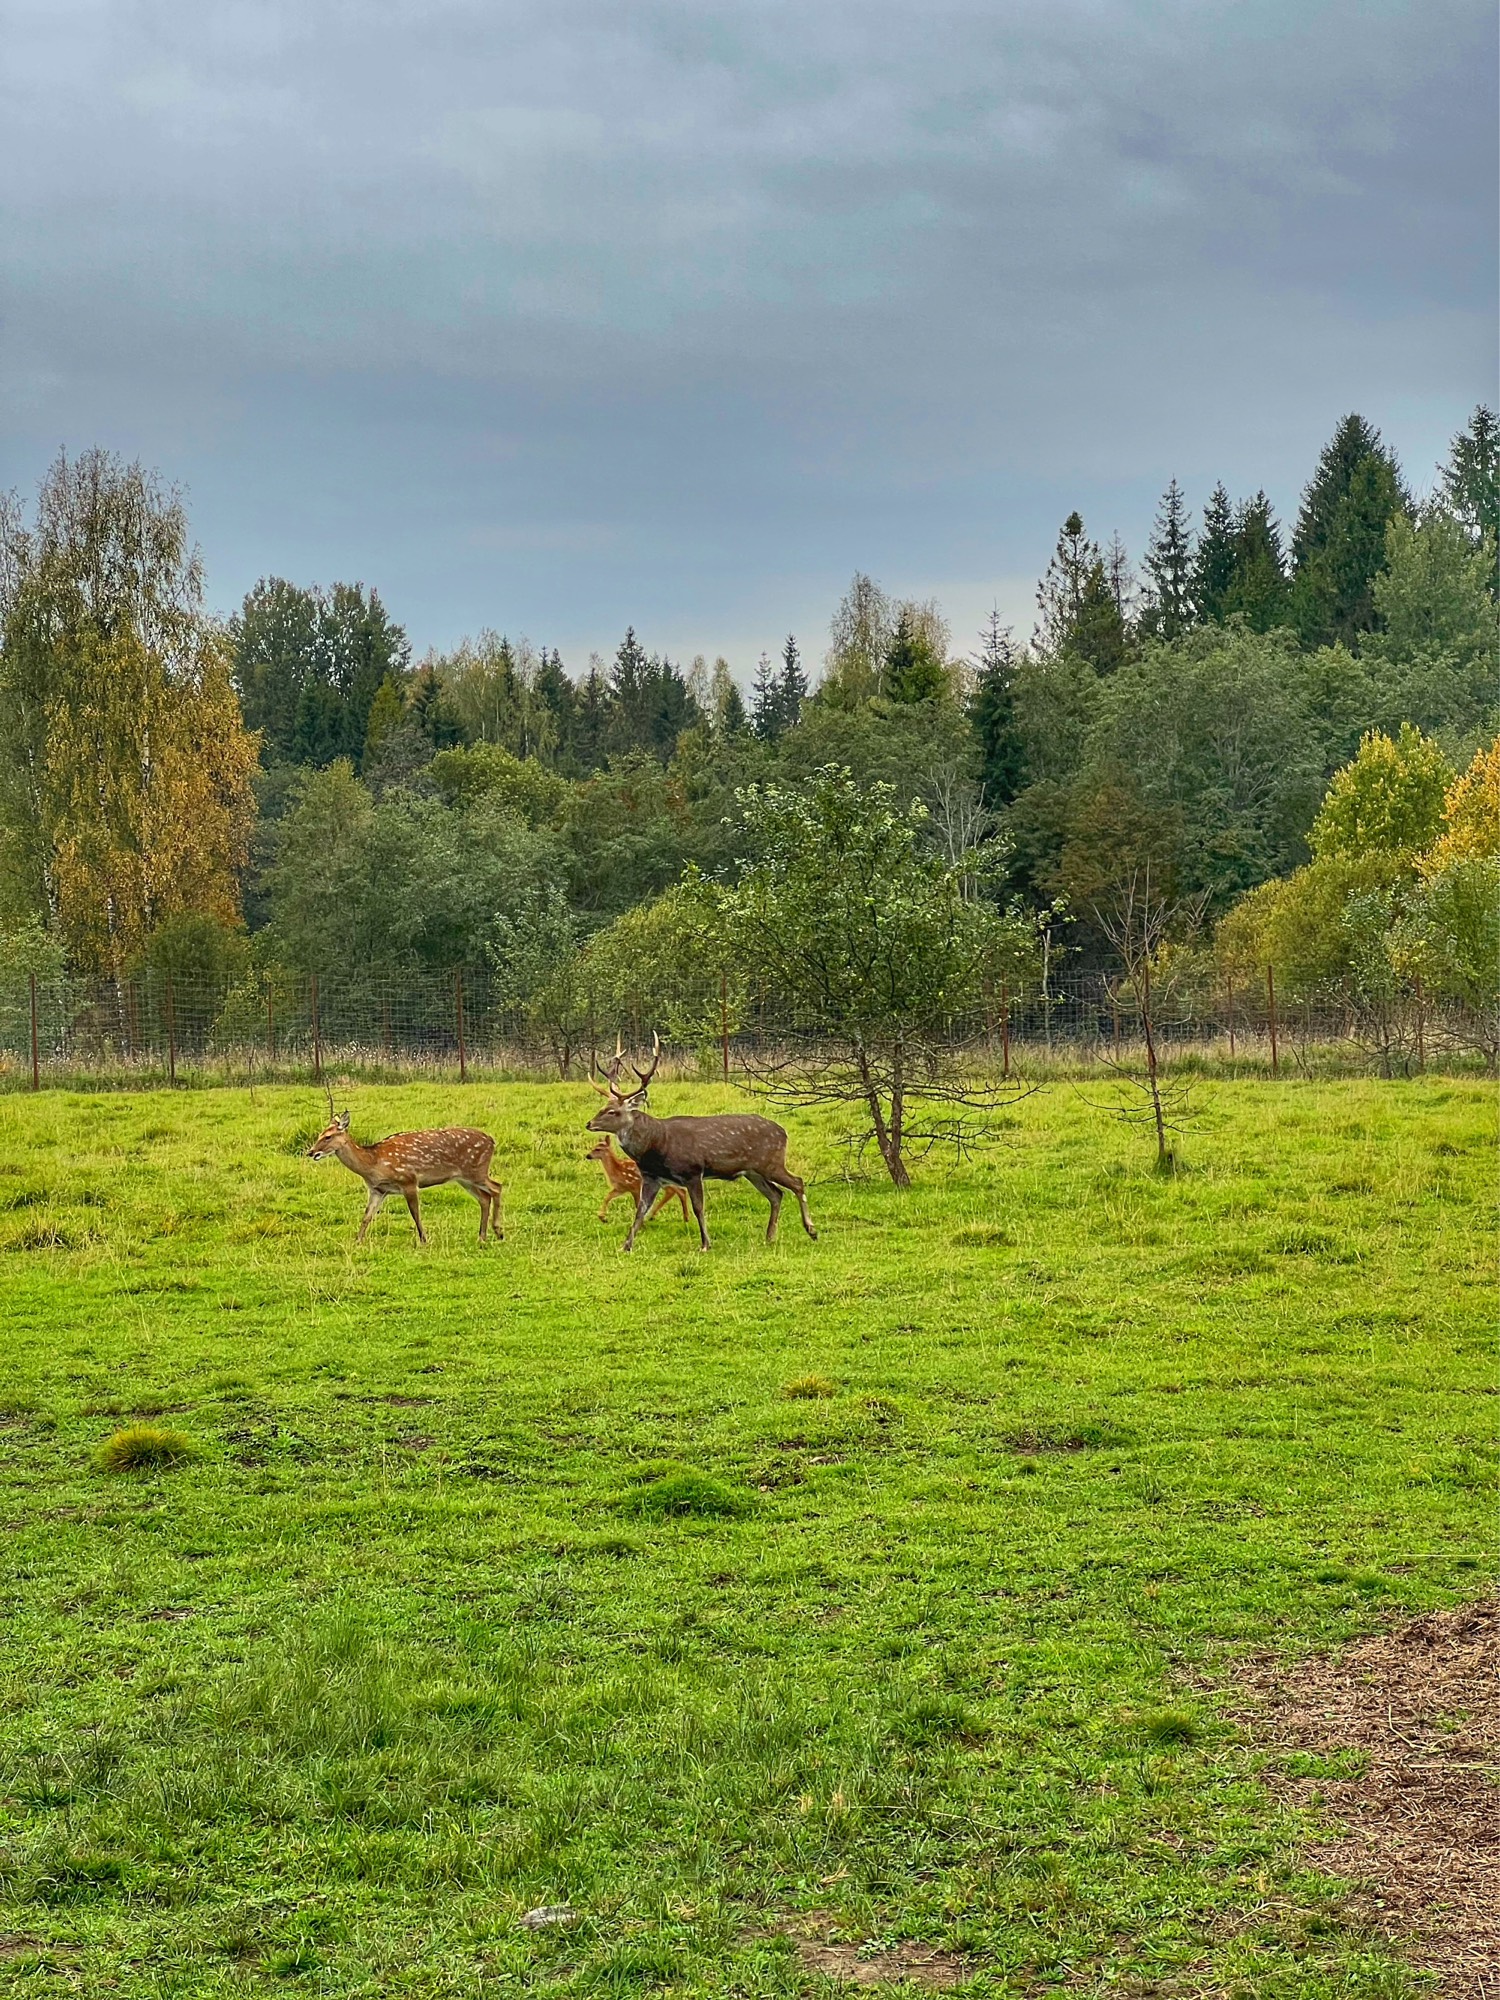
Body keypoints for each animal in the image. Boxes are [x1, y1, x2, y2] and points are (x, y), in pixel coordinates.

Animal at [306, 1104, 506, 1240]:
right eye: (320, 1134)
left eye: (328, 1136)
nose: (311, 1152)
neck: (374, 1164)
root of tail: (492, 1141)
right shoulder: (377, 1190)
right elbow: (366, 1216)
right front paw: (357, 1241)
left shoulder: (409, 1180)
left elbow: (415, 1213)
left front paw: (424, 1240)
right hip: (463, 1178)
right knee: (484, 1198)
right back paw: (482, 1236)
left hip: (477, 1171)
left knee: (497, 1187)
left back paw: (498, 1231)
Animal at [592, 1032, 824, 1248]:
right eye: (602, 1107)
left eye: (612, 1112)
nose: (589, 1123)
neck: (656, 1145)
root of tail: (783, 1132)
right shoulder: (652, 1177)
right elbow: (640, 1210)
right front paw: (626, 1245)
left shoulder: (693, 1170)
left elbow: (698, 1207)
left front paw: (705, 1244)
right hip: (753, 1171)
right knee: (776, 1194)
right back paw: (769, 1236)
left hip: (771, 1162)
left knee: (797, 1183)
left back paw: (811, 1230)